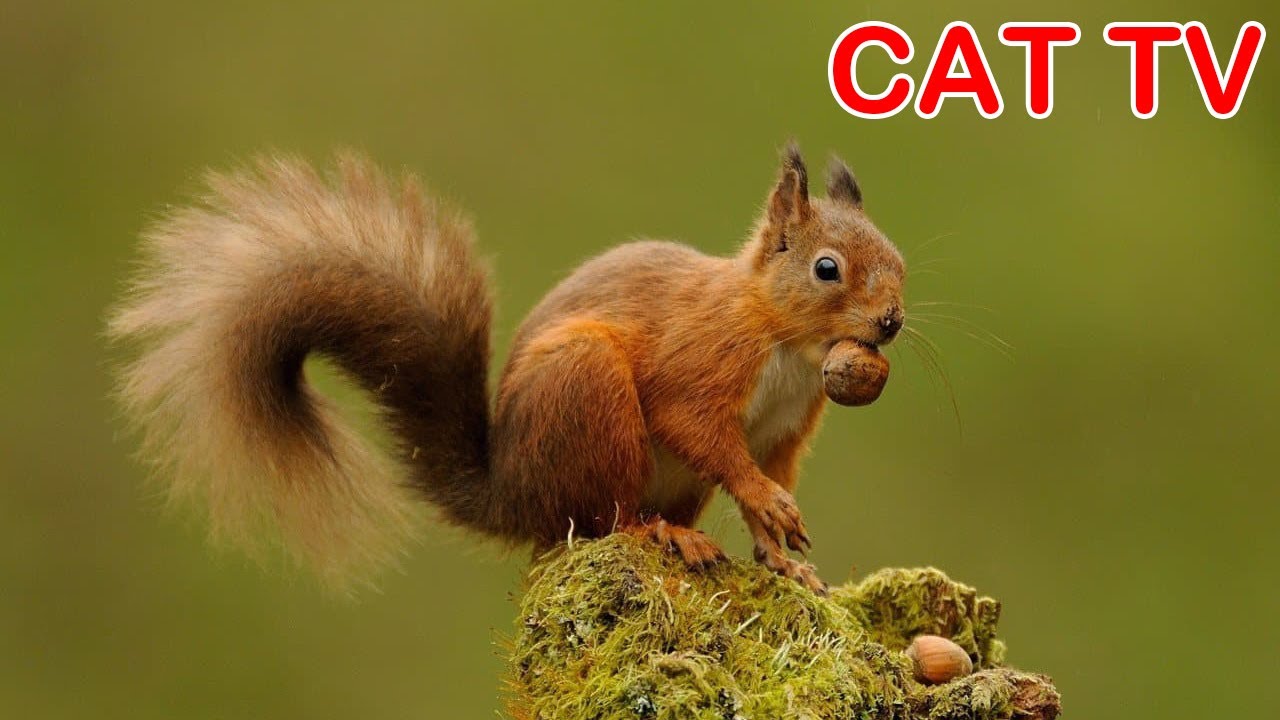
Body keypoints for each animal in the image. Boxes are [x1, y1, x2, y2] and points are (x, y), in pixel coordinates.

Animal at [108, 143, 905, 594]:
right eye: (827, 268)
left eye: (897, 257)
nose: (892, 321)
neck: (786, 343)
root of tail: (513, 493)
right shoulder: (702, 360)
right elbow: (700, 429)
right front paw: (771, 508)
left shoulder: (784, 430)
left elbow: (761, 480)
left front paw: (782, 554)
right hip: (588, 391)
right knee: (603, 517)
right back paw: (662, 534)